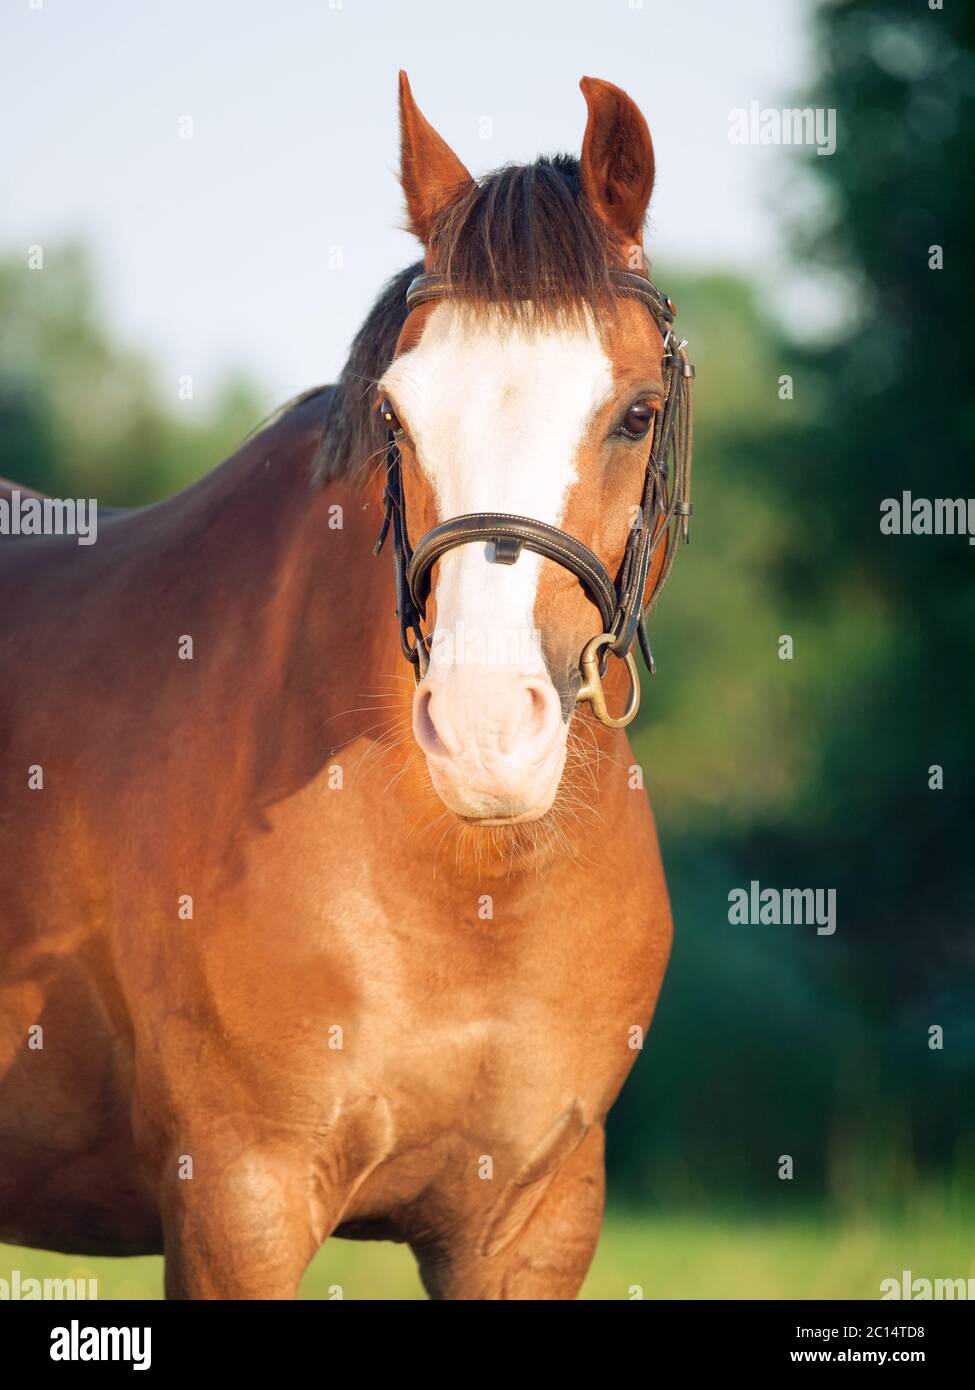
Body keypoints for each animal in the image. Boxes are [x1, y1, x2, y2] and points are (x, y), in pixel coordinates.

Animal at [0, 73, 693, 1299]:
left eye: (635, 414)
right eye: (396, 416)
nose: (482, 732)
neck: (468, 885)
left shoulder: (532, 1222)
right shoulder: (239, 1203)